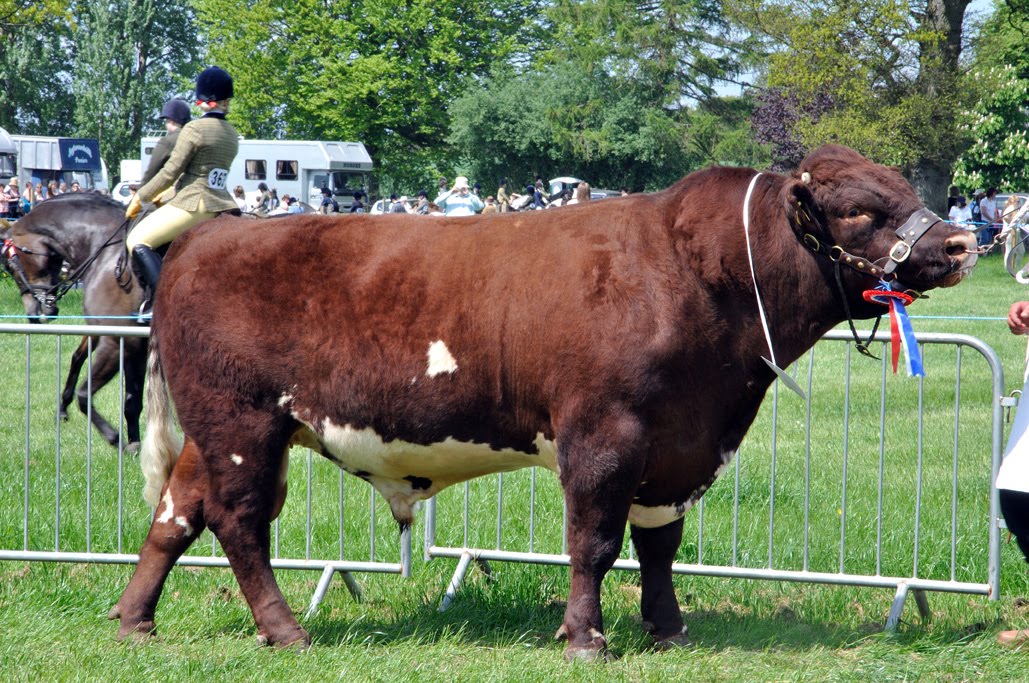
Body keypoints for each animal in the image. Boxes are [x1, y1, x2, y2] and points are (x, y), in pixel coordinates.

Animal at [109, 145, 977, 660]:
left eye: (904, 187)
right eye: (860, 210)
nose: (962, 243)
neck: (701, 275)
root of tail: (207, 238)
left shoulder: (680, 447)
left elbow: (658, 545)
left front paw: (667, 629)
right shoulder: (602, 434)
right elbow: (592, 541)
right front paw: (585, 637)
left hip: (216, 428)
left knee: (176, 511)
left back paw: (134, 617)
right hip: (242, 421)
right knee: (240, 521)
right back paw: (284, 629)